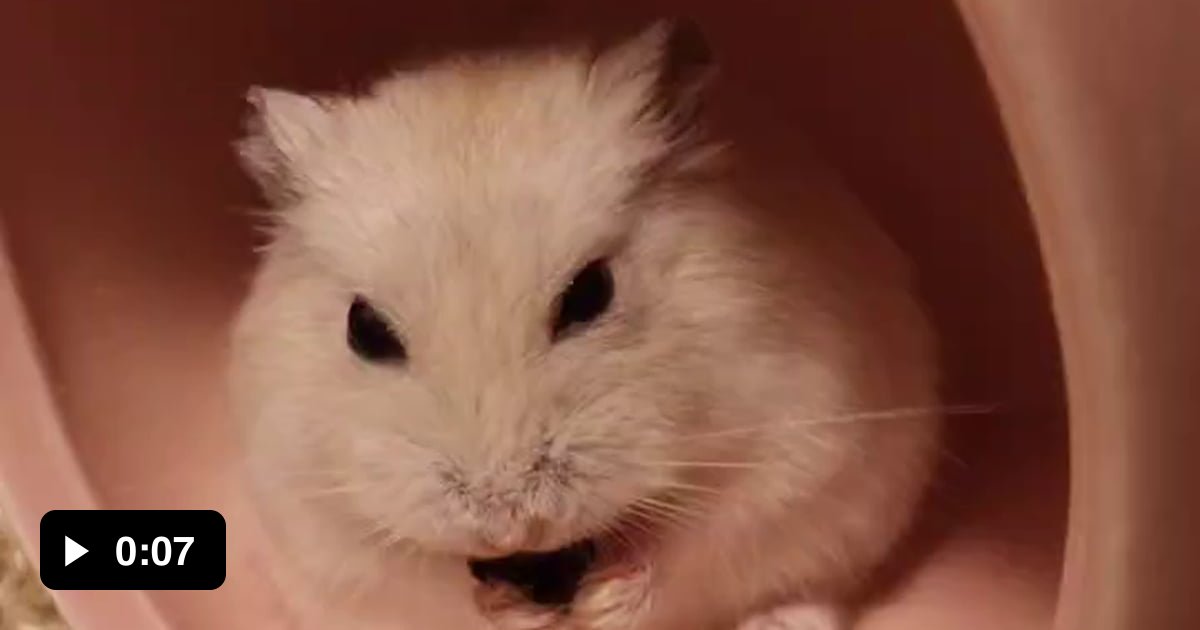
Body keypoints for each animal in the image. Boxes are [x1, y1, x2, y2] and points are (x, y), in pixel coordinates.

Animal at [229, 18, 941, 630]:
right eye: (365, 329)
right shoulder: (316, 517)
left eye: (592, 292)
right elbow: (425, 581)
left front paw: (602, 601)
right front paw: (519, 612)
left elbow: (699, 545)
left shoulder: (801, 441)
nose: (508, 528)